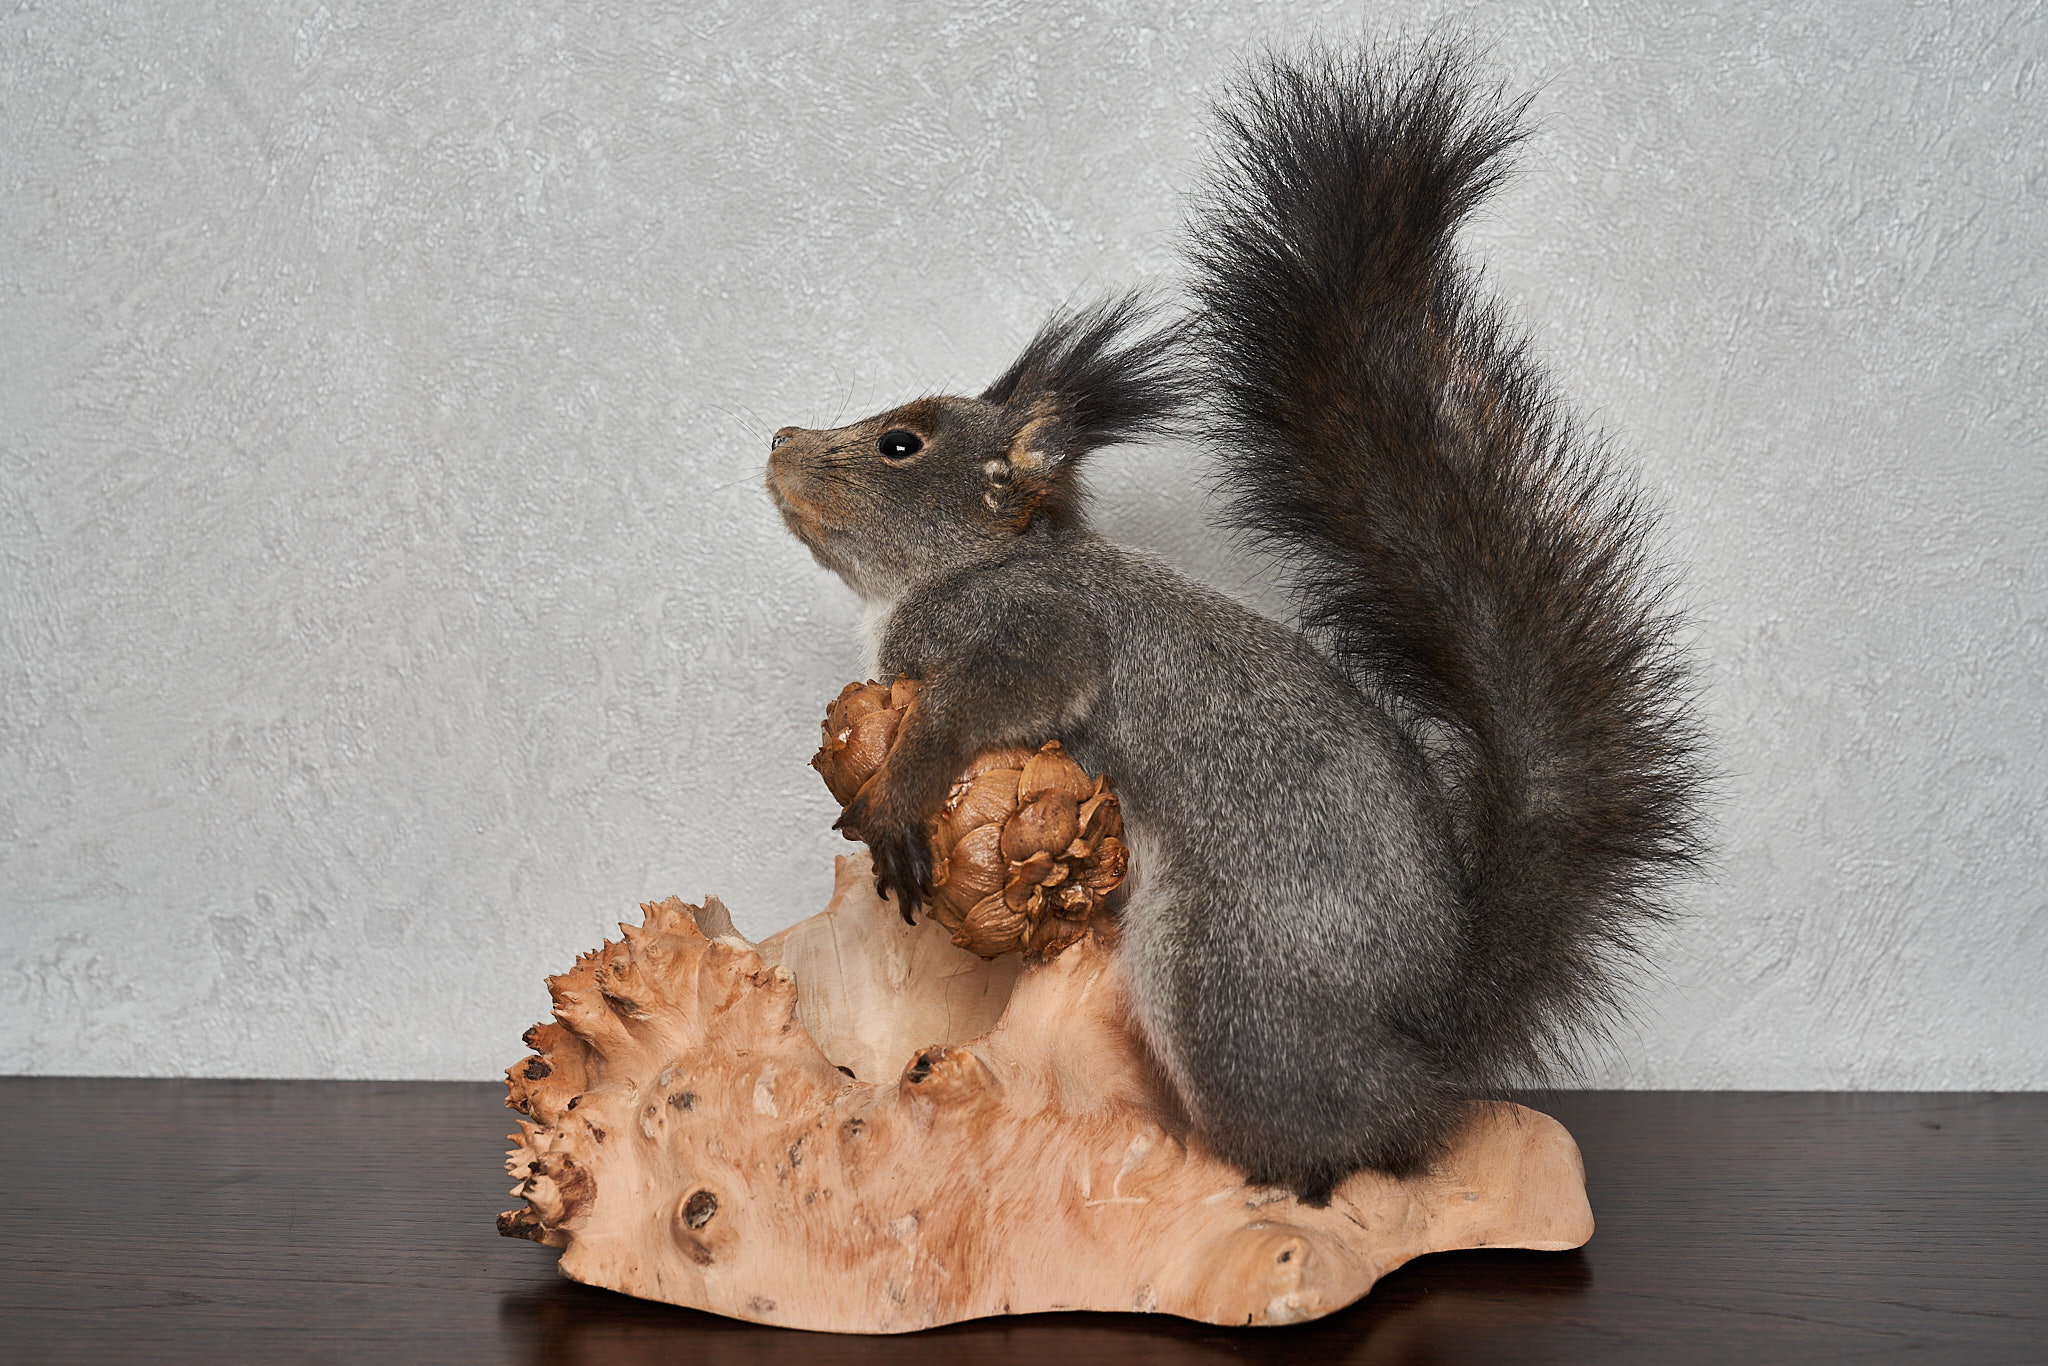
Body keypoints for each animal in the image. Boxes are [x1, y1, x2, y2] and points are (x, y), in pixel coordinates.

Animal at [764, 45, 1704, 1204]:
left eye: (901, 444)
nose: (779, 440)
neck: (965, 565)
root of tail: (1429, 1043)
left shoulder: (1037, 630)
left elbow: (991, 694)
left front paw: (897, 790)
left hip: (1223, 988)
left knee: (1342, 1146)